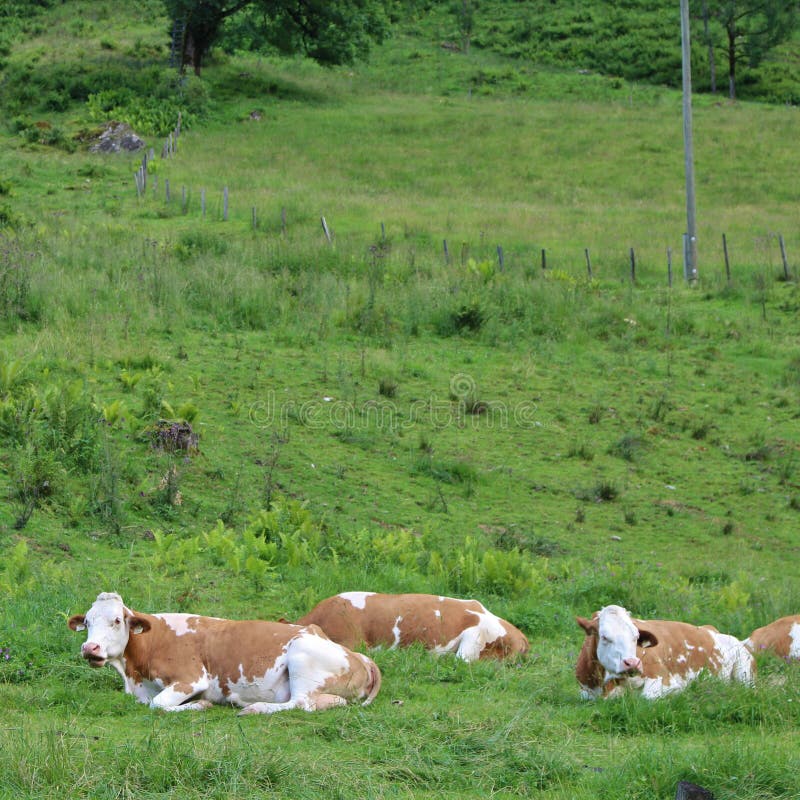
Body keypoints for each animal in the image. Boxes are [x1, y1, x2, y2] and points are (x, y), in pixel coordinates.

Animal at [68, 592, 381, 714]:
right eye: (88, 623)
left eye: (116, 620)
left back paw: (254, 708)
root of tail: (360, 657)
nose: (90, 648)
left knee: (299, 702)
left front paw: (199, 705)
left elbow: (158, 704)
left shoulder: (191, 678)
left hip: (301, 657)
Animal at [575, 604, 755, 699]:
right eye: (605, 637)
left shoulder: (662, 678)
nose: (632, 663)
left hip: (745, 675)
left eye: (636, 636)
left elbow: (646, 697)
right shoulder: (586, 692)